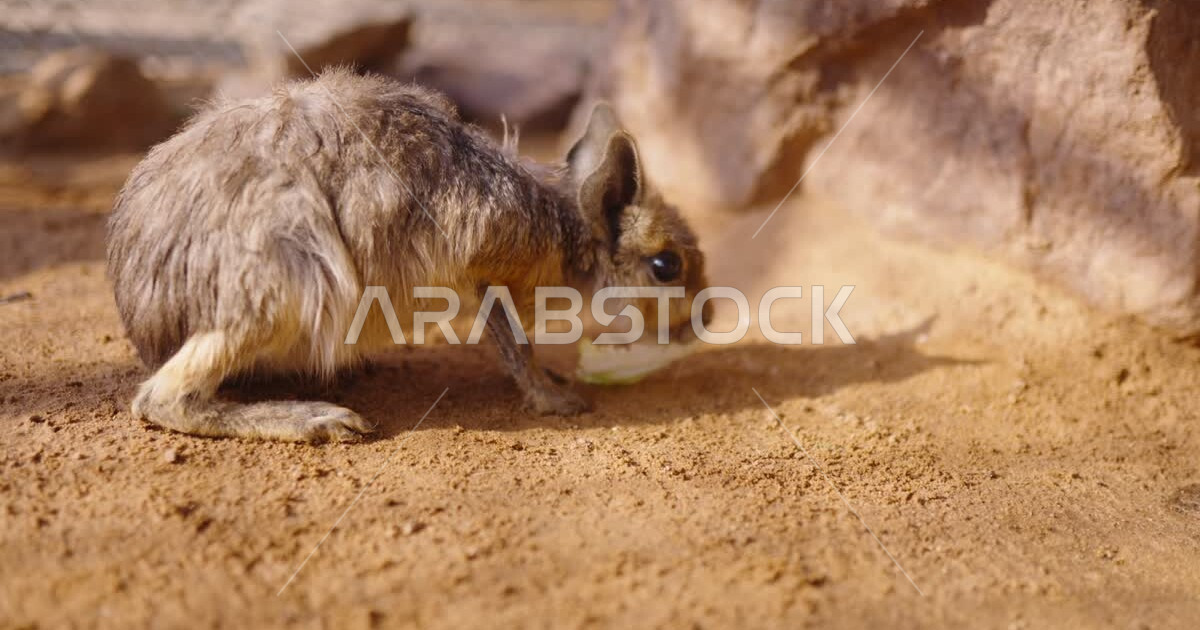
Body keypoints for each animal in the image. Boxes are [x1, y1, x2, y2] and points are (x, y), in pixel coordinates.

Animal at [106, 69, 708, 443]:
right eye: (666, 266)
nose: (703, 321)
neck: (561, 226)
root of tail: (143, 312)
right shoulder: (485, 273)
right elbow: (516, 345)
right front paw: (560, 401)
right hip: (287, 285)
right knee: (160, 399)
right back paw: (318, 419)